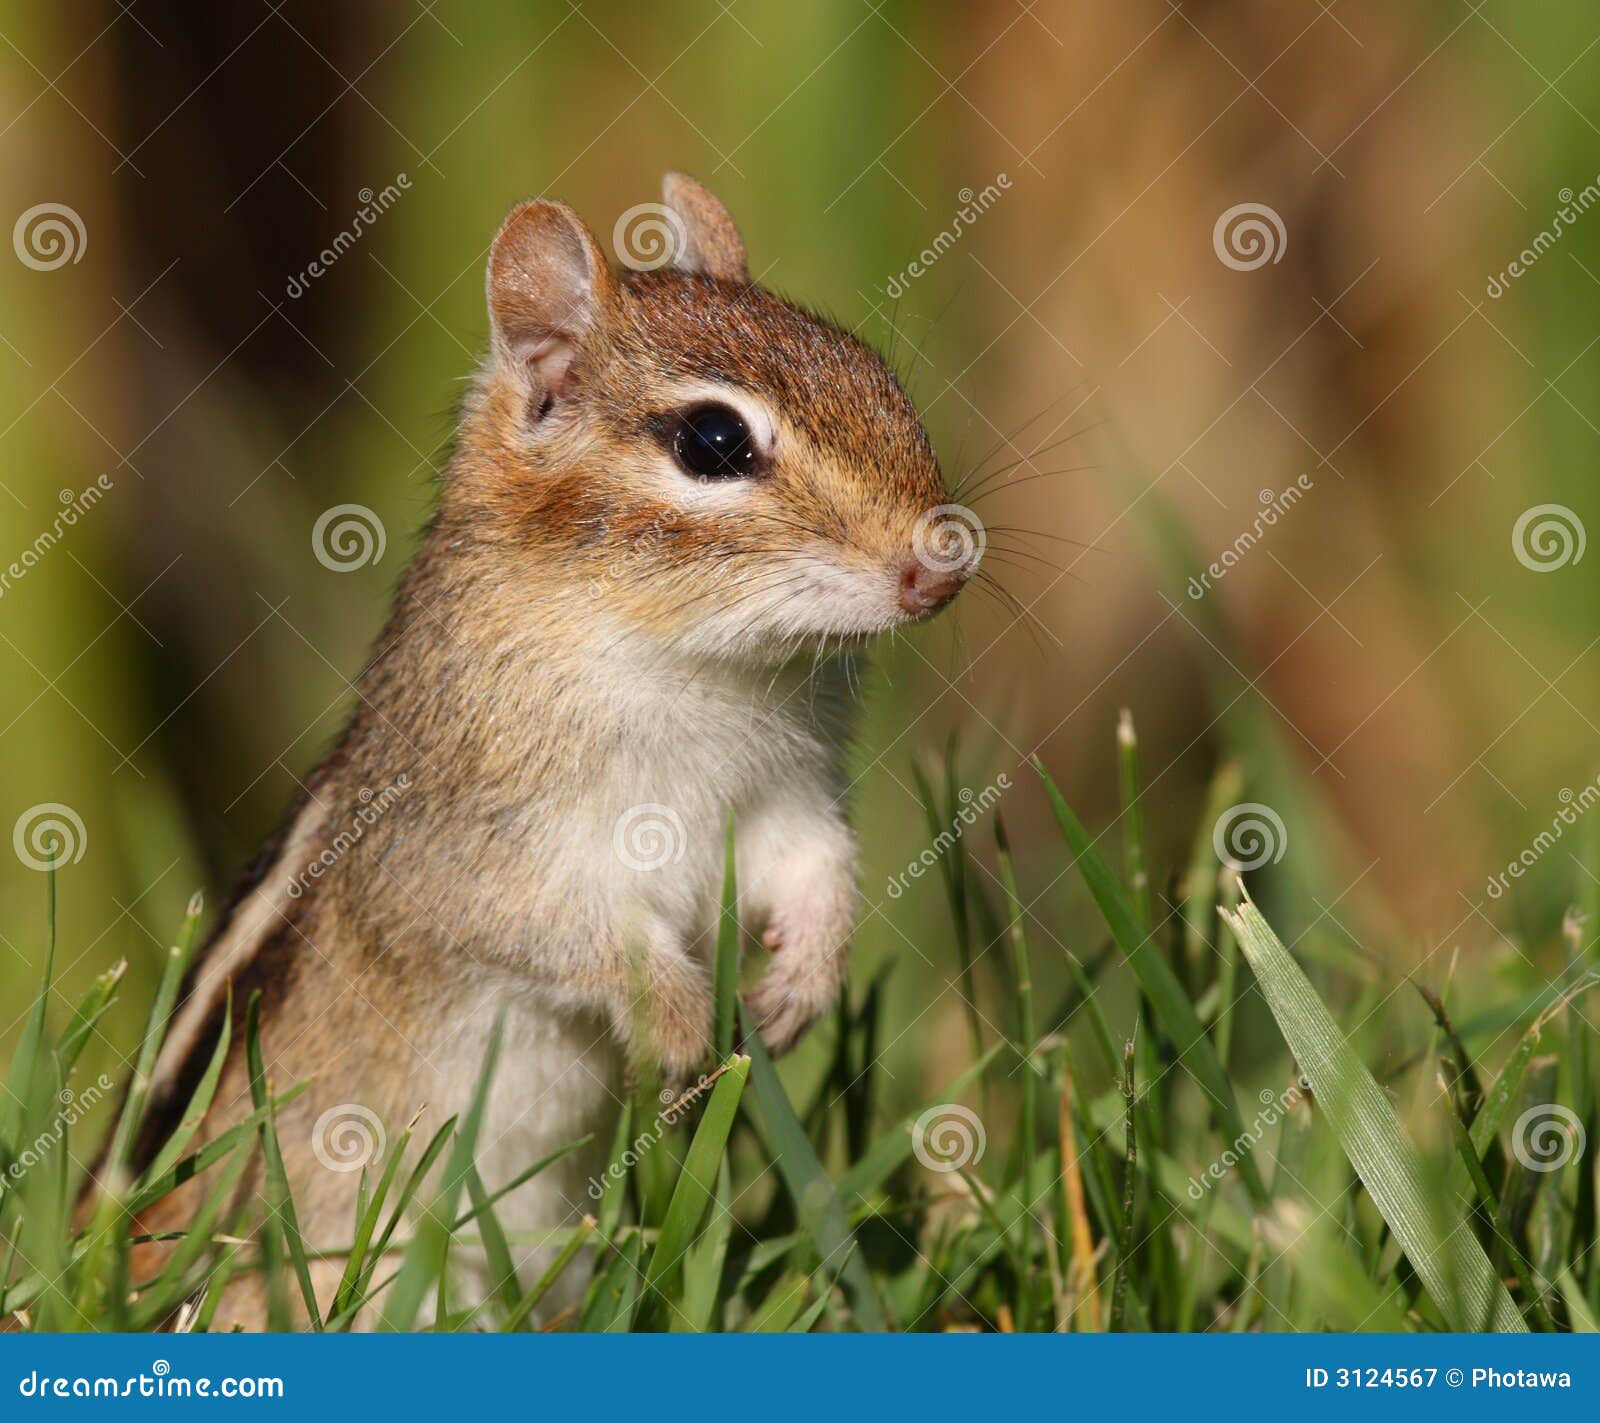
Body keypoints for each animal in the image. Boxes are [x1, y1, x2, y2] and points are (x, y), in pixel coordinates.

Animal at [118, 174, 971, 1328]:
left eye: (875, 370)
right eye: (713, 442)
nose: (940, 568)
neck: (703, 667)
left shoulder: (785, 796)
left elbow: (818, 869)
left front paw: (799, 988)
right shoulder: (469, 850)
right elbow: (563, 929)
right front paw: (682, 1026)